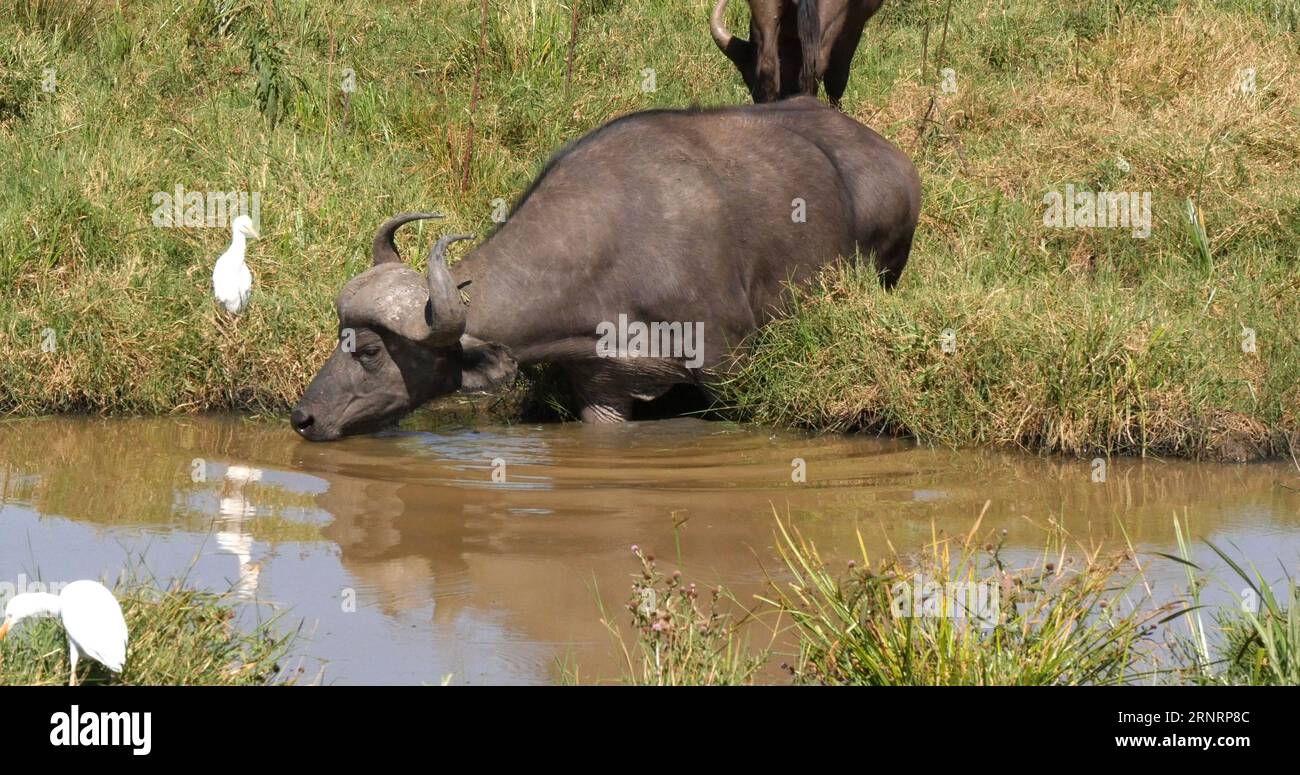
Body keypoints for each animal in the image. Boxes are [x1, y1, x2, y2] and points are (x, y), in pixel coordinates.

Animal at [291, 97, 920, 441]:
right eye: (339, 337)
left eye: (371, 350)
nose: (303, 418)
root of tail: (894, 161)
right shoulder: (603, 390)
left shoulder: (730, 366)